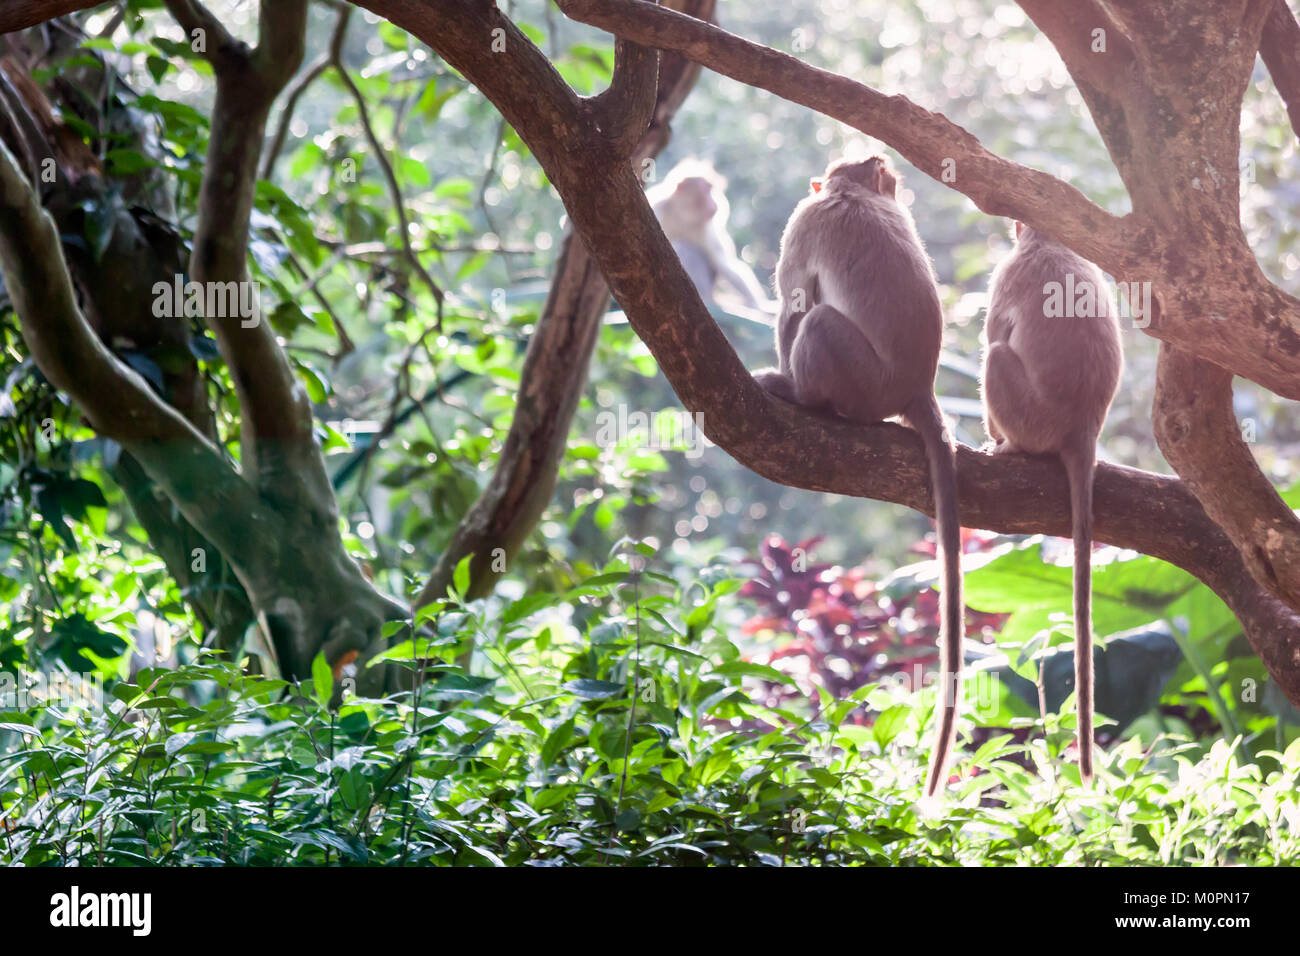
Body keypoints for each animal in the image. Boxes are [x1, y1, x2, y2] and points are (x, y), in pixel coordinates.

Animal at [648, 159, 776, 316]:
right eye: (706, 190)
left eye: (711, 189)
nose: (714, 202)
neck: (682, 214)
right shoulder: (657, 206)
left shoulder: (706, 229)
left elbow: (724, 264)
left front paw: (758, 305)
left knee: (684, 247)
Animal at [752, 155, 964, 798]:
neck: (851, 194)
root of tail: (915, 388)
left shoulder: (804, 222)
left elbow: (795, 298)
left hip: (857, 378)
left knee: (819, 320)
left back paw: (801, 395)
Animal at [981, 222, 1122, 784]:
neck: (1051, 241)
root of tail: (1083, 425)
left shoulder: (1007, 273)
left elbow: (994, 334)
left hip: (1030, 416)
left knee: (997, 355)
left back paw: (1008, 446)